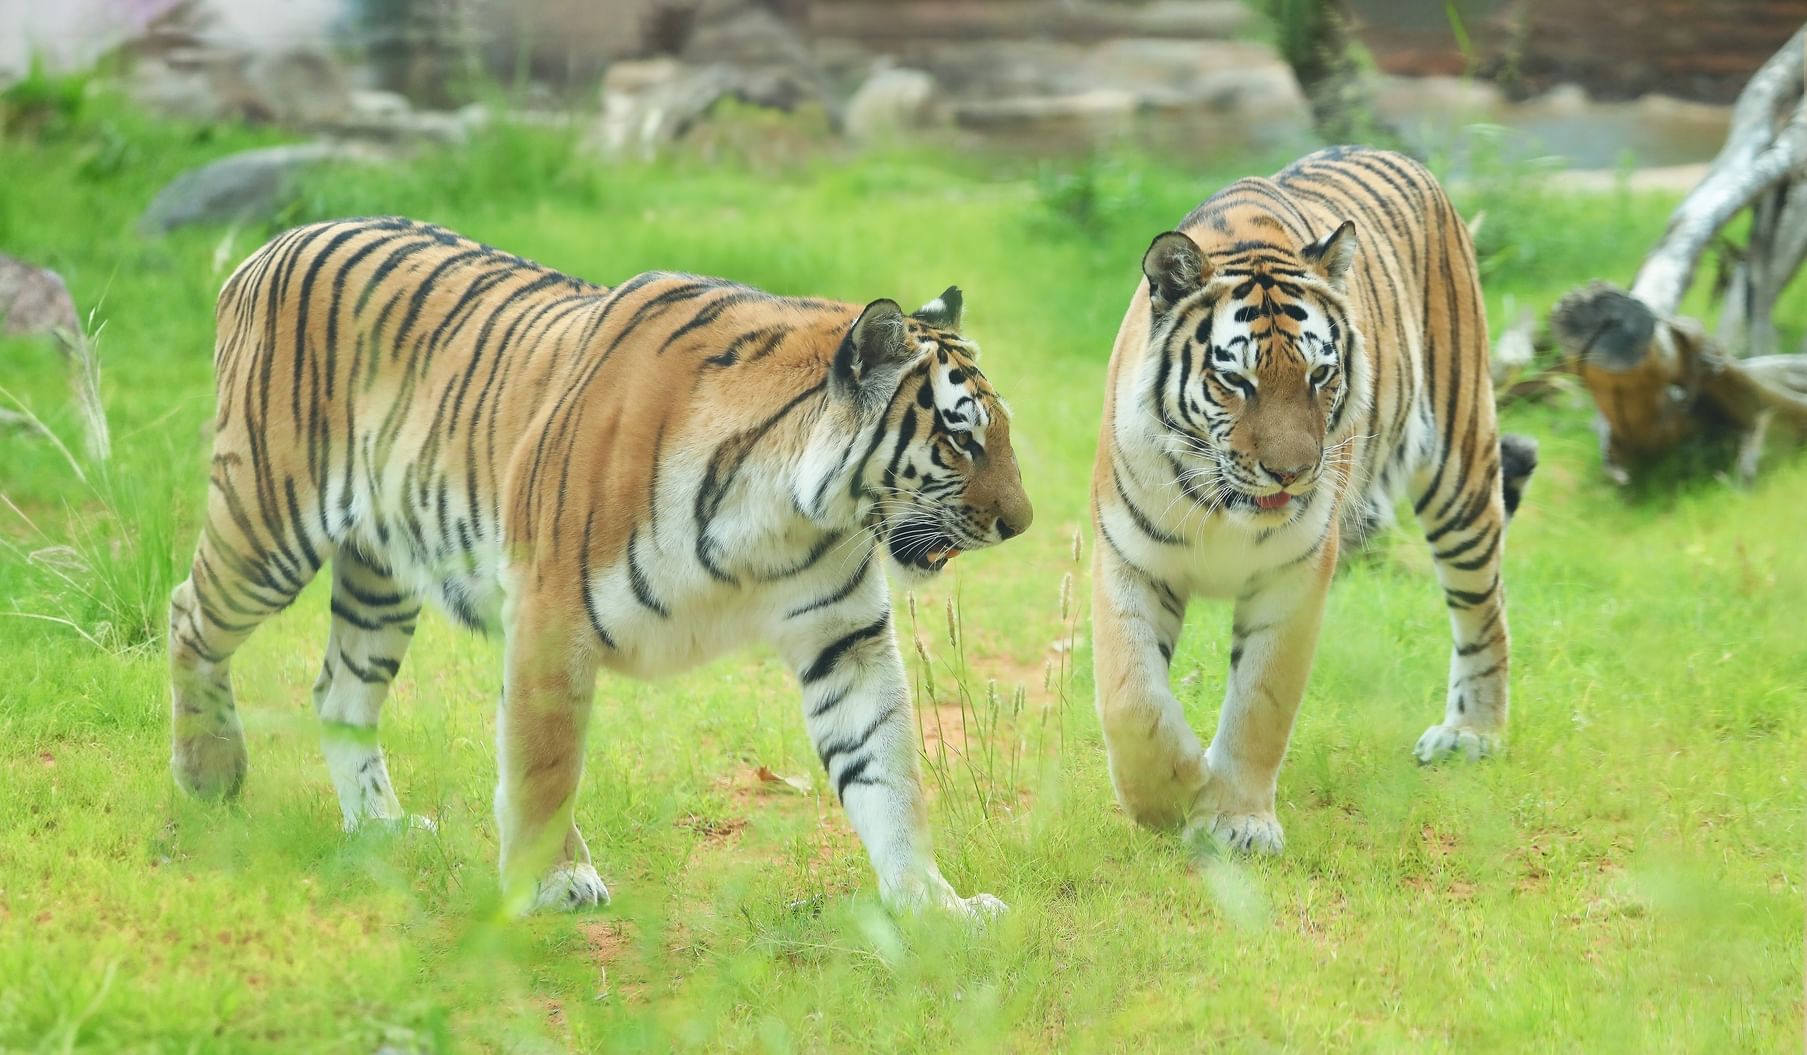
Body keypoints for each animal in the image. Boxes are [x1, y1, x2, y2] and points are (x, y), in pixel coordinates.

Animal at [167, 216, 1032, 916]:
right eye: (960, 437)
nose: (1019, 524)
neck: (784, 517)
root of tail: (272, 244)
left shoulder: (843, 637)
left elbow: (887, 770)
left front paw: (931, 904)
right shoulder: (549, 615)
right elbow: (545, 762)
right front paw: (552, 883)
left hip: (380, 575)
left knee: (340, 689)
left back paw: (380, 825)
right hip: (267, 522)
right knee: (188, 614)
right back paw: (210, 772)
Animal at [1089, 146, 1537, 851]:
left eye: (1320, 375)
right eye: (1235, 380)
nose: (1290, 473)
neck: (1222, 505)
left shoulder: (1292, 574)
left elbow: (1259, 704)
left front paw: (1237, 821)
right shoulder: (1128, 557)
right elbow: (1132, 696)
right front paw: (1170, 793)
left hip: (1460, 470)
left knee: (1483, 608)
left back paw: (1471, 734)